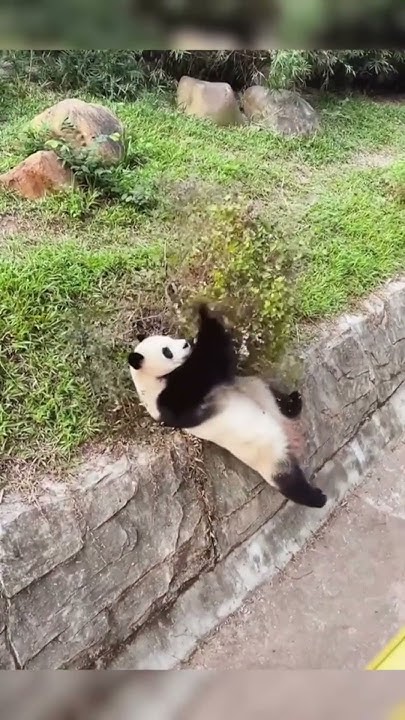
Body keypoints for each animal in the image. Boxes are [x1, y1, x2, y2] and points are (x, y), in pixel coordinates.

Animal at [128, 304, 327, 509]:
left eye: (168, 339)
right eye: (166, 351)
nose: (185, 344)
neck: (148, 381)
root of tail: (286, 432)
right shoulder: (173, 399)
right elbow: (211, 364)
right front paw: (204, 315)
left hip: (259, 391)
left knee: (275, 397)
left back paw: (294, 402)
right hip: (267, 453)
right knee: (289, 482)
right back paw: (318, 498)